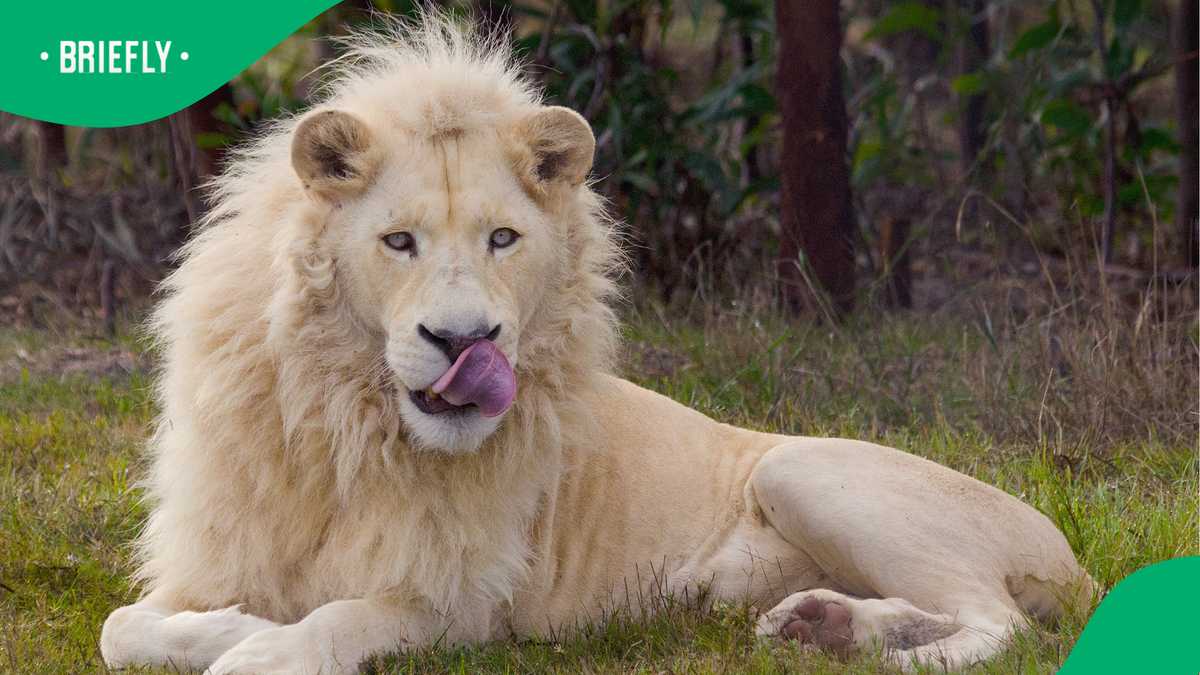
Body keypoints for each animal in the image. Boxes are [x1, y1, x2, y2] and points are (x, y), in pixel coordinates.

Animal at [100, 15, 1093, 674]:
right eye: (398, 241)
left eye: (503, 239)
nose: (464, 339)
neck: (348, 418)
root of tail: (1073, 556)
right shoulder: (223, 546)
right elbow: (125, 626)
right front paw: (226, 626)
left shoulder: (463, 603)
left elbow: (329, 623)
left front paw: (254, 643)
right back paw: (822, 624)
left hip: (801, 469)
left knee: (1005, 622)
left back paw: (883, 653)